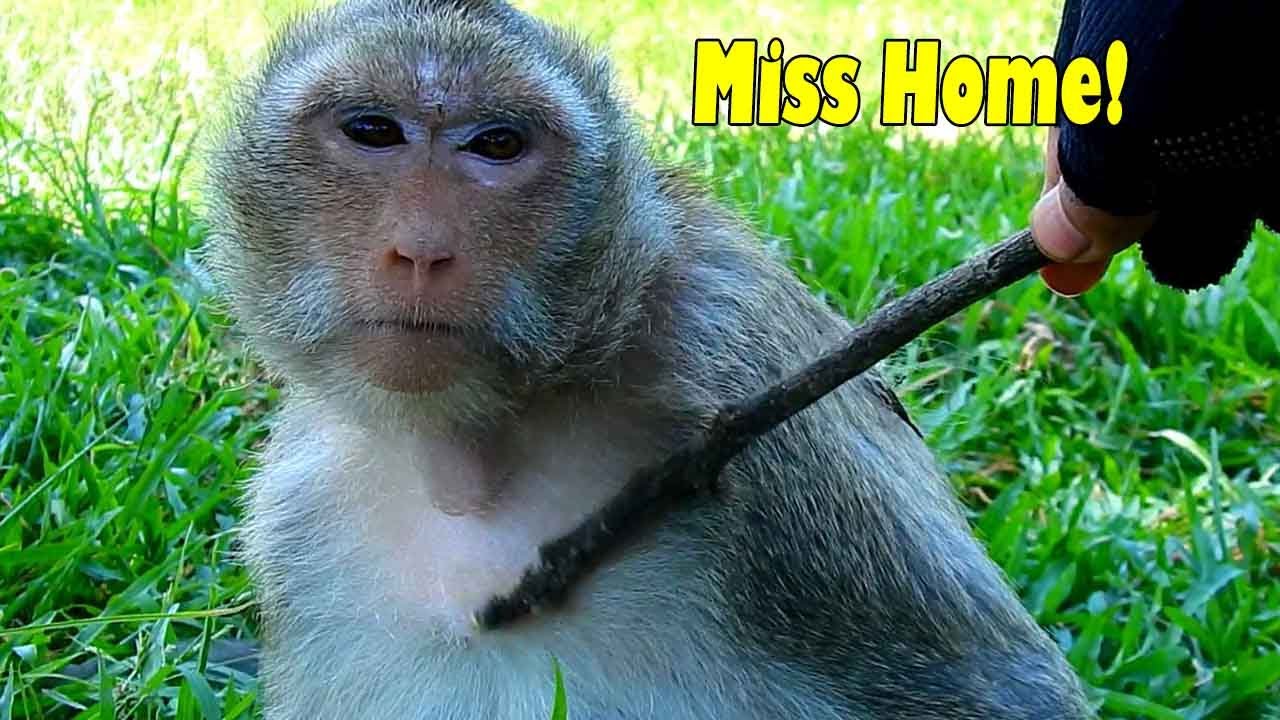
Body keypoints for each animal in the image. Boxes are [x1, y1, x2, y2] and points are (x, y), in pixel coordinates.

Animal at [201, 1, 1095, 718]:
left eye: (497, 144)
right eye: (373, 132)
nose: (420, 249)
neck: (472, 460)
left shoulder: (738, 354)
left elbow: (1006, 688)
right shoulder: (293, 516)